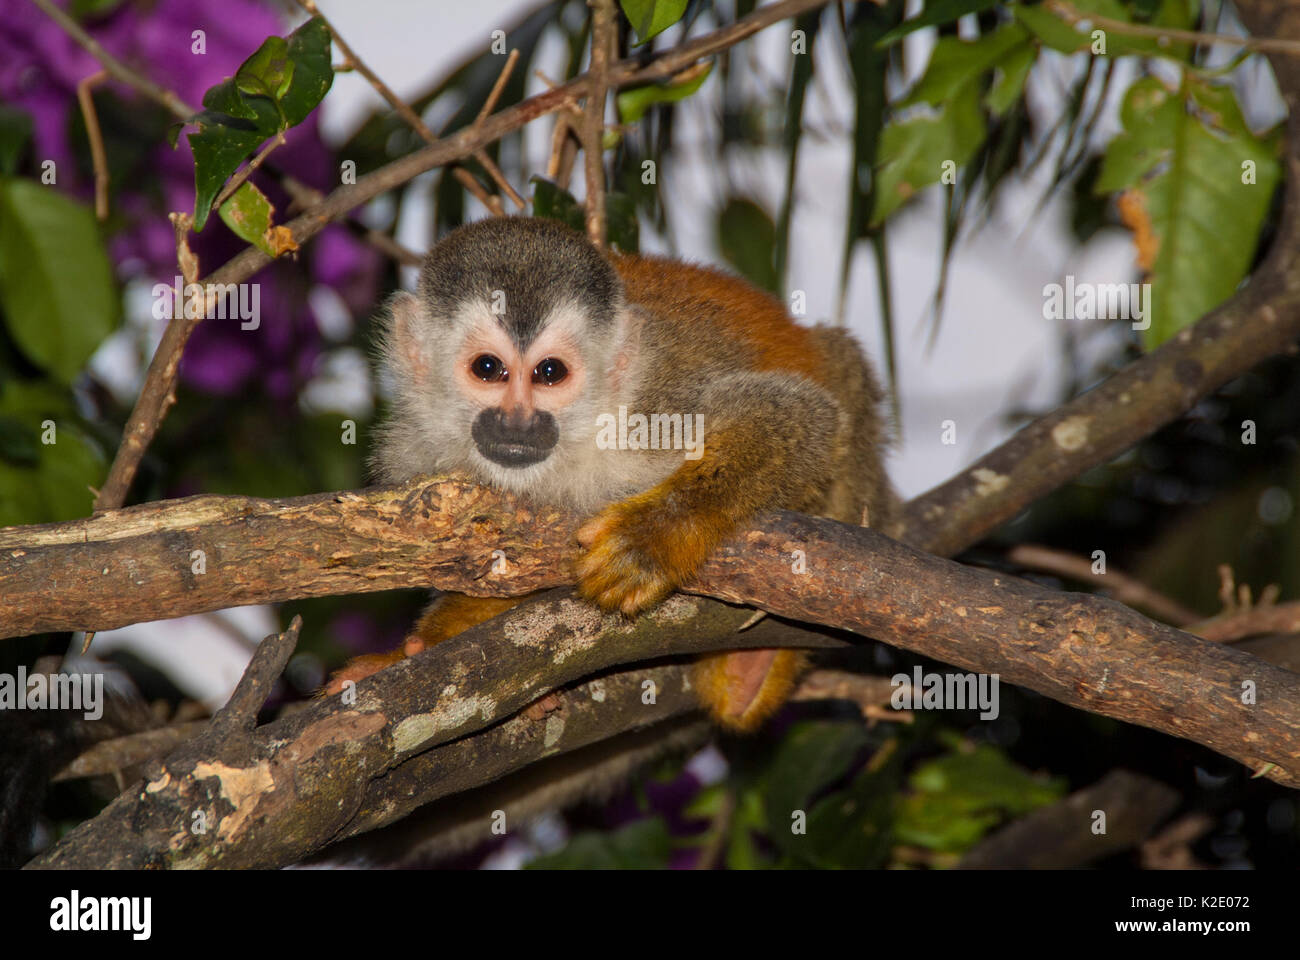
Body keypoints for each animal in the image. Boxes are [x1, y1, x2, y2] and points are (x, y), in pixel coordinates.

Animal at [326, 215, 895, 732]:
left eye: (550, 372)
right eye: (488, 368)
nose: (517, 421)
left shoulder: (655, 405)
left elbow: (802, 415)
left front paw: (651, 540)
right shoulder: (418, 452)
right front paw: (413, 651)